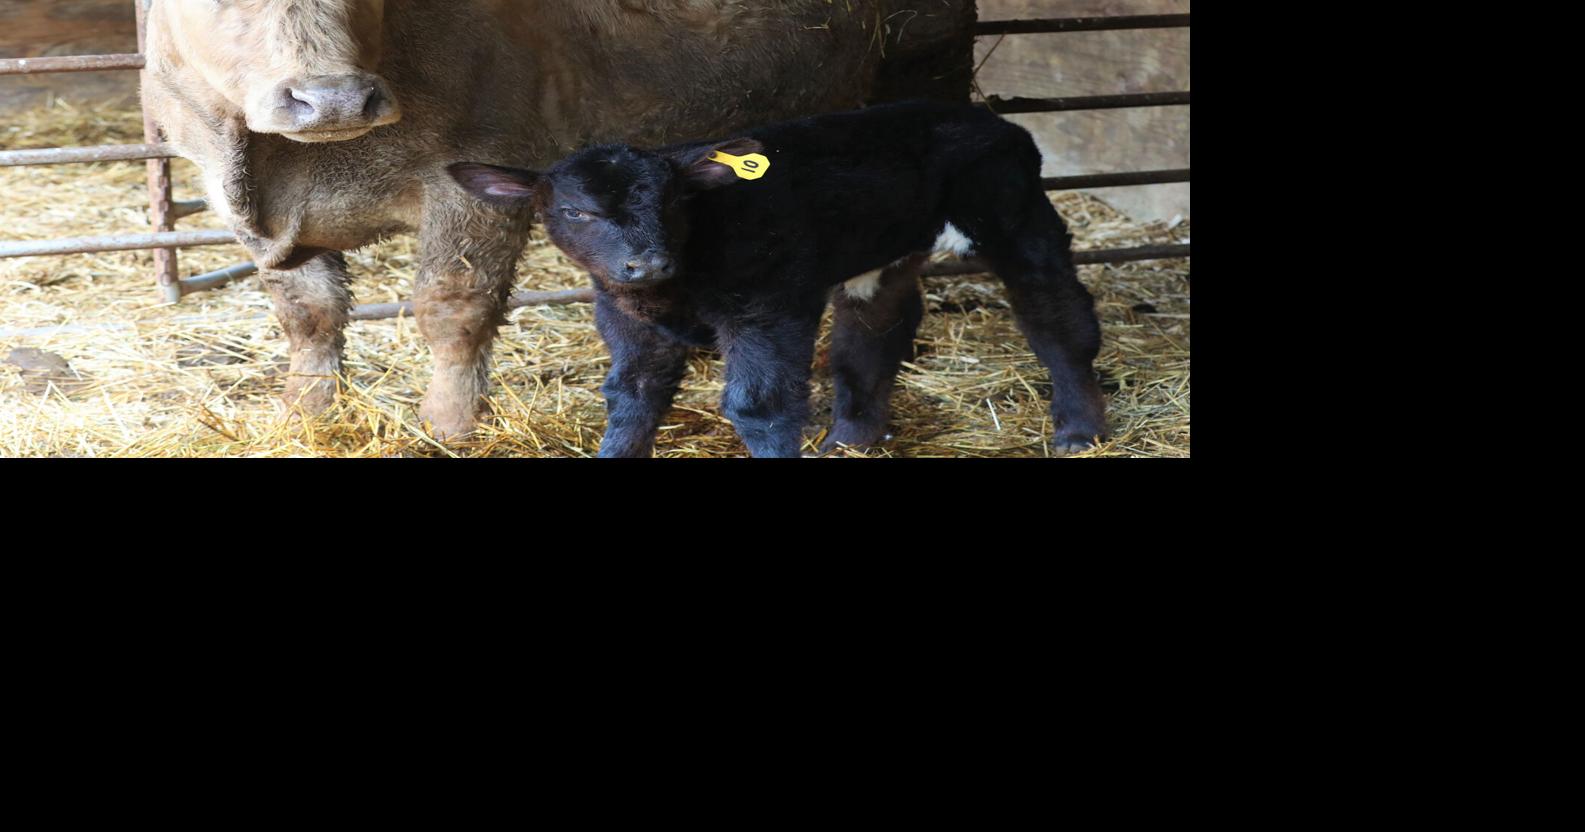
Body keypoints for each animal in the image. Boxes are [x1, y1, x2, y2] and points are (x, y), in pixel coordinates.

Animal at [140, 0, 975, 438]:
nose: (334, 97)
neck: (285, 170)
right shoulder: (258, 217)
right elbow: (307, 314)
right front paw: (306, 412)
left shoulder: (473, 175)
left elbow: (453, 307)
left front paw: (449, 423)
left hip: (916, 78)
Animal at [448, 100, 1107, 458]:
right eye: (575, 212)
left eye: (674, 200)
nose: (647, 262)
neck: (675, 287)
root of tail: (989, 118)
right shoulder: (624, 317)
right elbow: (632, 397)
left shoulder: (766, 305)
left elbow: (759, 406)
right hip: (882, 254)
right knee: (872, 338)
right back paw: (851, 438)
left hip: (1015, 216)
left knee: (1058, 316)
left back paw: (1079, 429)